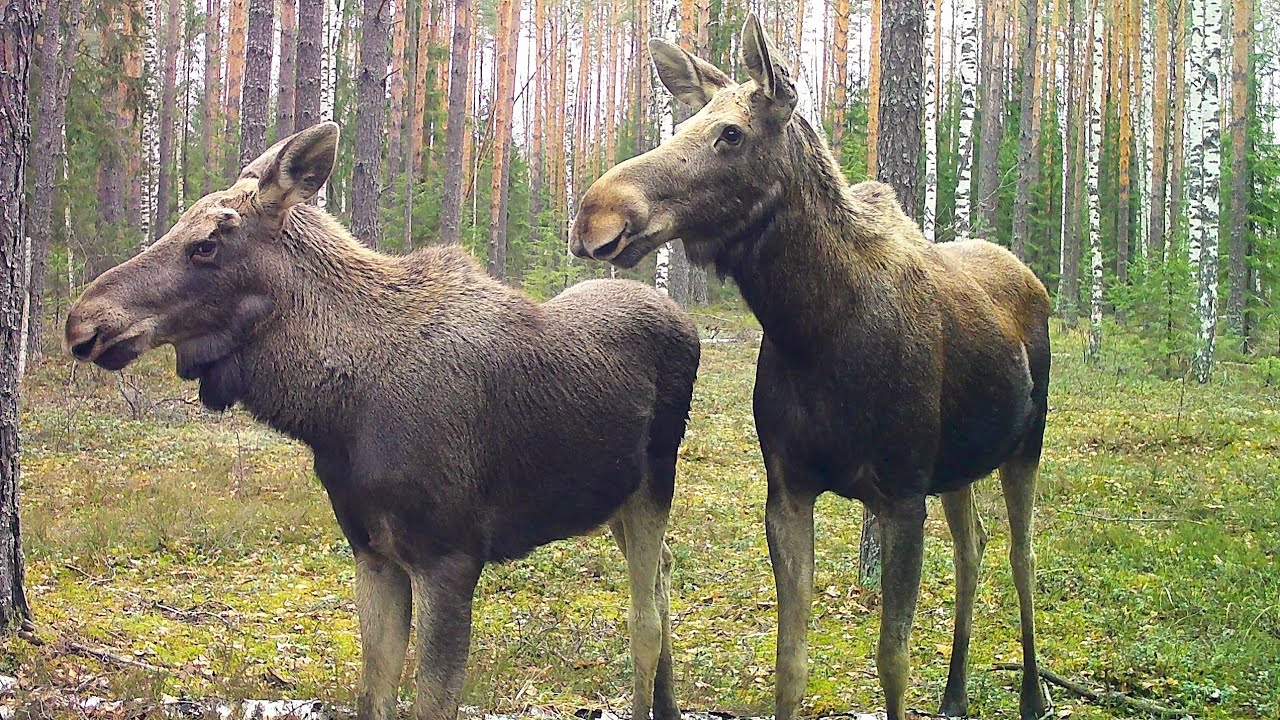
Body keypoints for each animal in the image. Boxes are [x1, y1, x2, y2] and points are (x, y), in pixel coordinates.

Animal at [64, 122, 700, 720]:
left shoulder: (450, 557)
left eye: (207, 244)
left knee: (644, 619)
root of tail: (686, 320)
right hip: (613, 498)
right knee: (666, 577)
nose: (82, 321)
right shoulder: (371, 552)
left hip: (654, 483)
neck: (338, 413)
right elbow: (375, 694)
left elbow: (432, 700)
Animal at [571, 16, 1052, 720]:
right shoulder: (789, 489)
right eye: (688, 118)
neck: (817, 331)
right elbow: (790, 664)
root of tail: (1032, 278)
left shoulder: (902, 494)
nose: (595, 213)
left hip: (1026, 443)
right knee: (974, 549)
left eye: (731, 132)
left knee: (1022, 555)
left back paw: (1032, 694)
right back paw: (956, 693)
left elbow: (892, 661)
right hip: (959, 466)